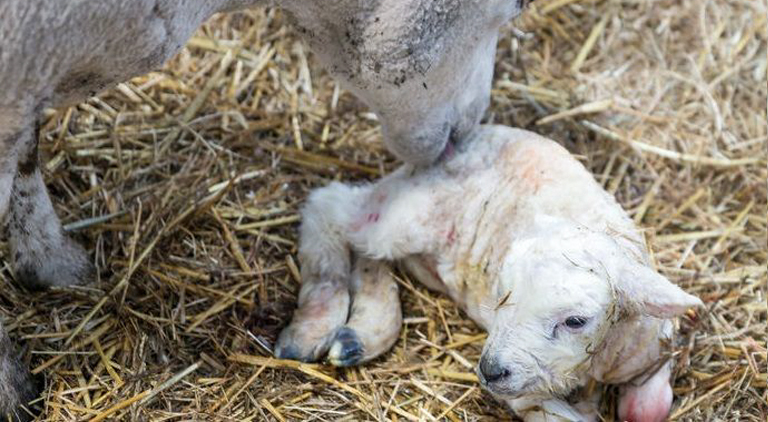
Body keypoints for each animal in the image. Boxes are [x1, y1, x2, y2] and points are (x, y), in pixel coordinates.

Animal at [277, 125, 702, 421]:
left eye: (575, 321)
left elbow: (648, 409)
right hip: (405, 214)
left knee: (370, 256)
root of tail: (463, 138)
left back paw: (362, 333)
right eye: (502, 294)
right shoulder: (527, 394)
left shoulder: (651, 349)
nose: (491, 371)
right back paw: (313, 323)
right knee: (328, 207)